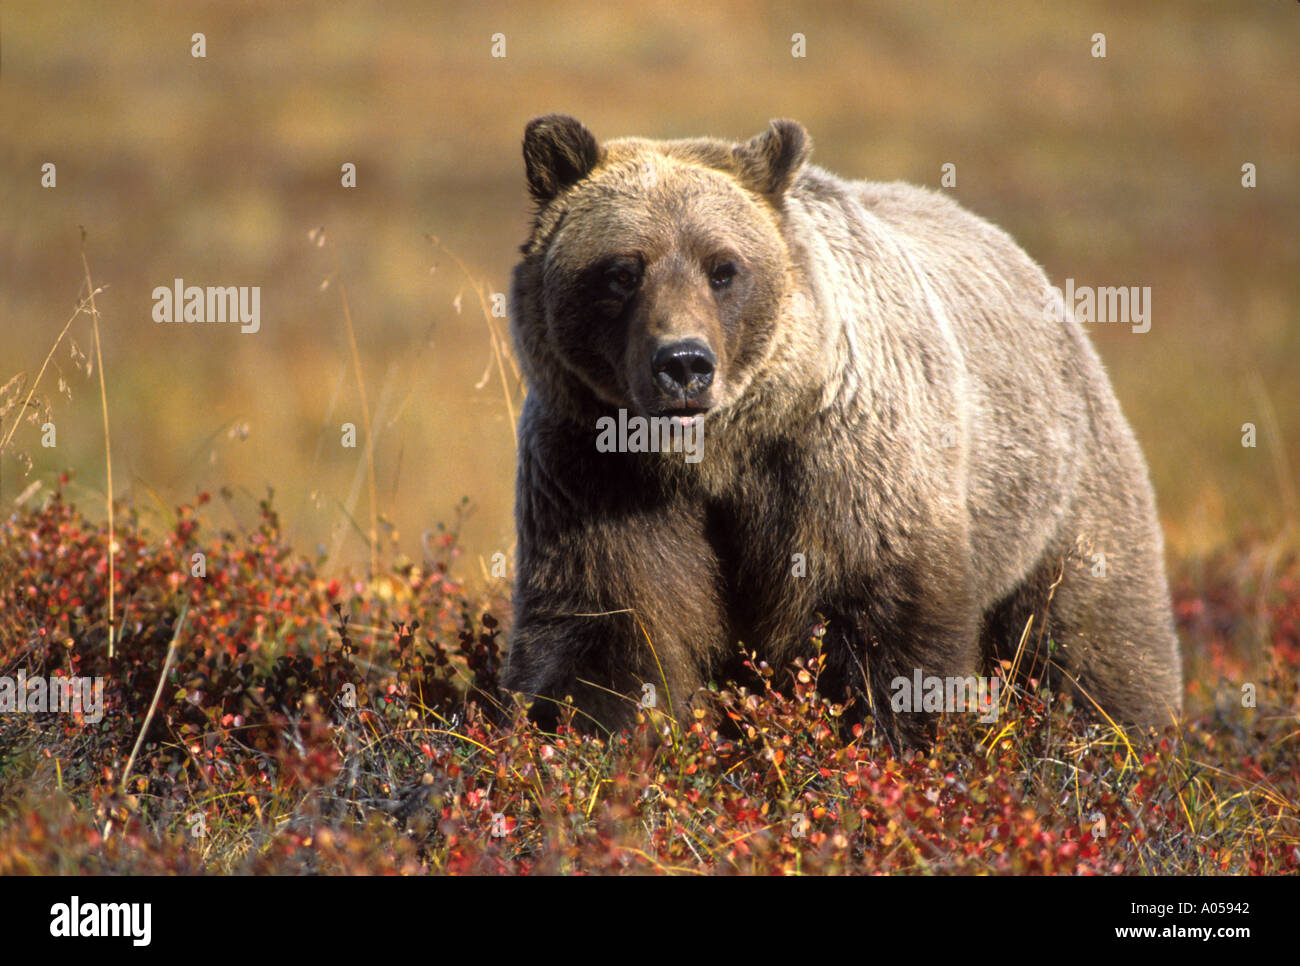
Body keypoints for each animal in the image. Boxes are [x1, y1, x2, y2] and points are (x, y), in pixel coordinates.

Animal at [501, 114, 1183, 747]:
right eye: (623, 270)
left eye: (723, 268)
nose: (684, 363)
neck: (715, 453)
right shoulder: (595, 472)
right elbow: (611, 622)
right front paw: (587, 736)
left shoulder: (839, 462)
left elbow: (882, 625)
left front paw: (897, 739)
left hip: (1056, 487)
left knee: (1094, 637)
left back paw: (1127, 735)